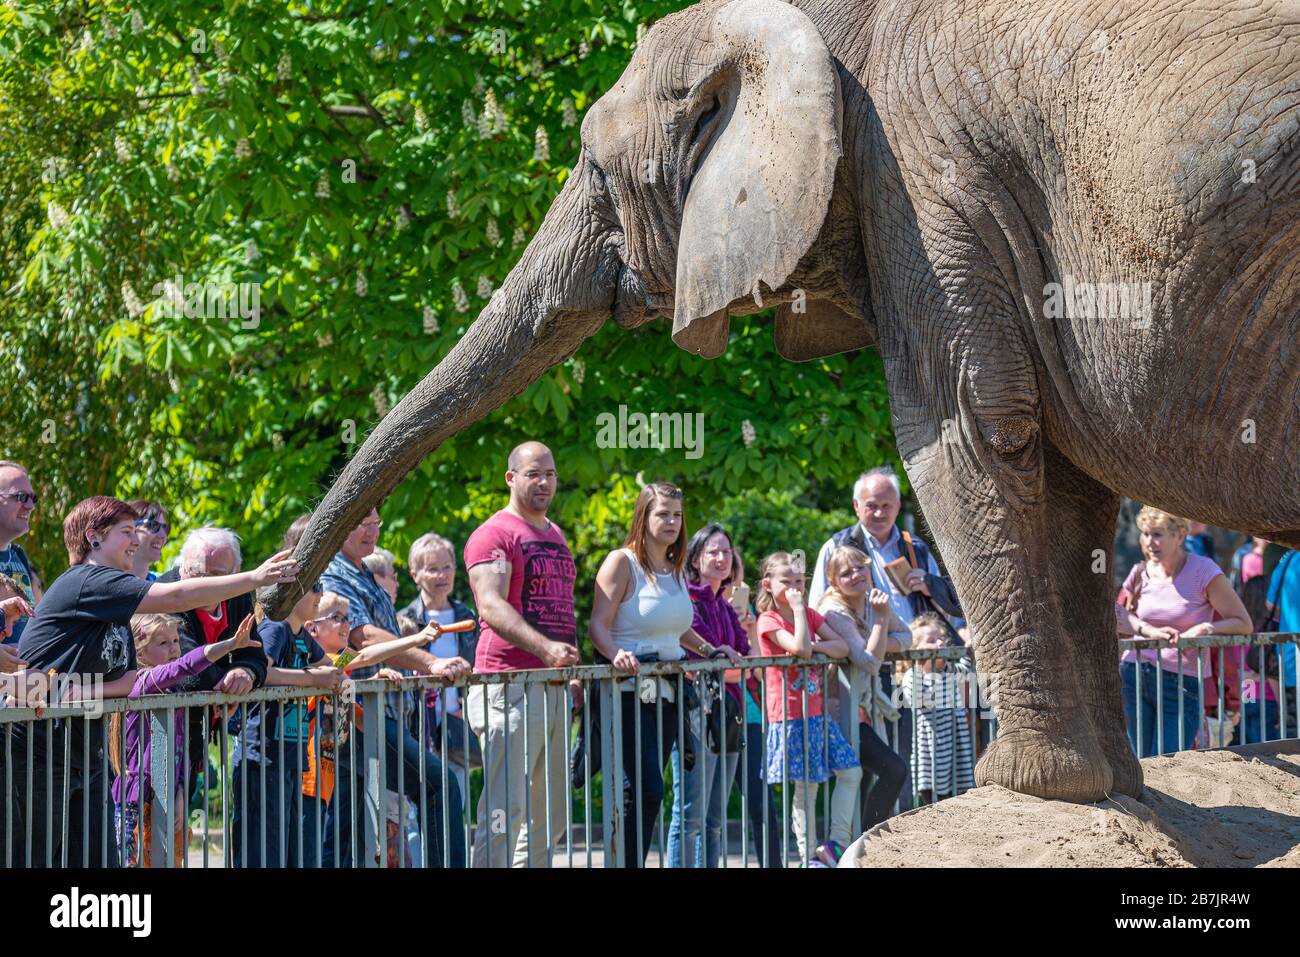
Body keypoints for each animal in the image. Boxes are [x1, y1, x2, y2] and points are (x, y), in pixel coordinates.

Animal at [262, 0, 1300, 804]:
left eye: (593, 169)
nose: (272, 598)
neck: (817, 27)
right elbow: (1062, 475)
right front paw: (1108, 791)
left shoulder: (927, 190)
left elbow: (973, 436)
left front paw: (1027, 783)